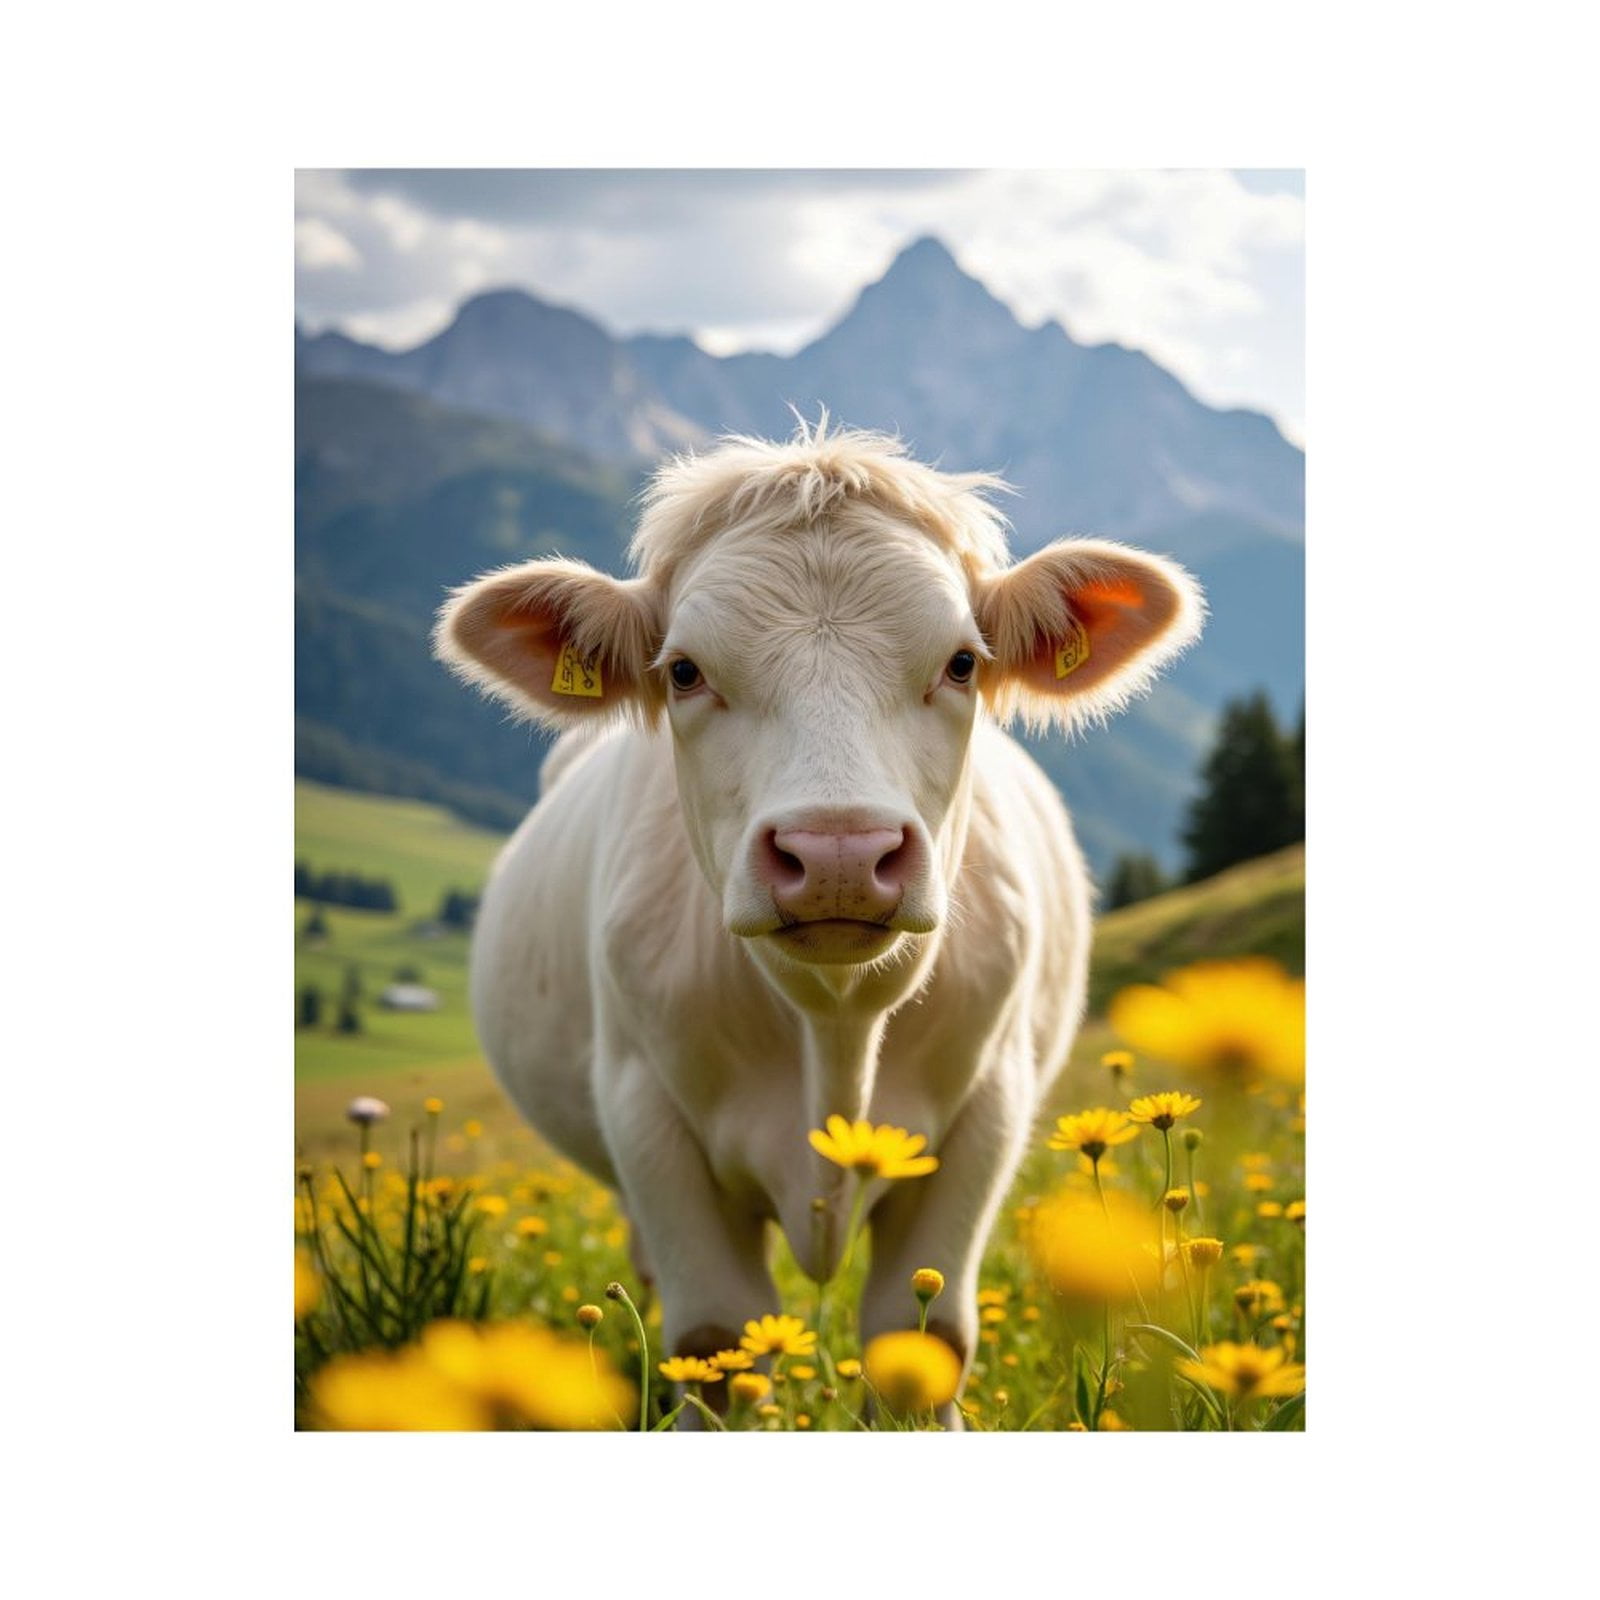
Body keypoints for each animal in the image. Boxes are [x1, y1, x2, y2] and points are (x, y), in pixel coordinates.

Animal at [433, 421, 1203, 1424]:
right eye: (684, 672)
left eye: (962, 662)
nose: (838, 851)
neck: (835, 1024)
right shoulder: (645, 1113)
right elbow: (713, 1340)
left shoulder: (989, 1111)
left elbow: (922, 1339)